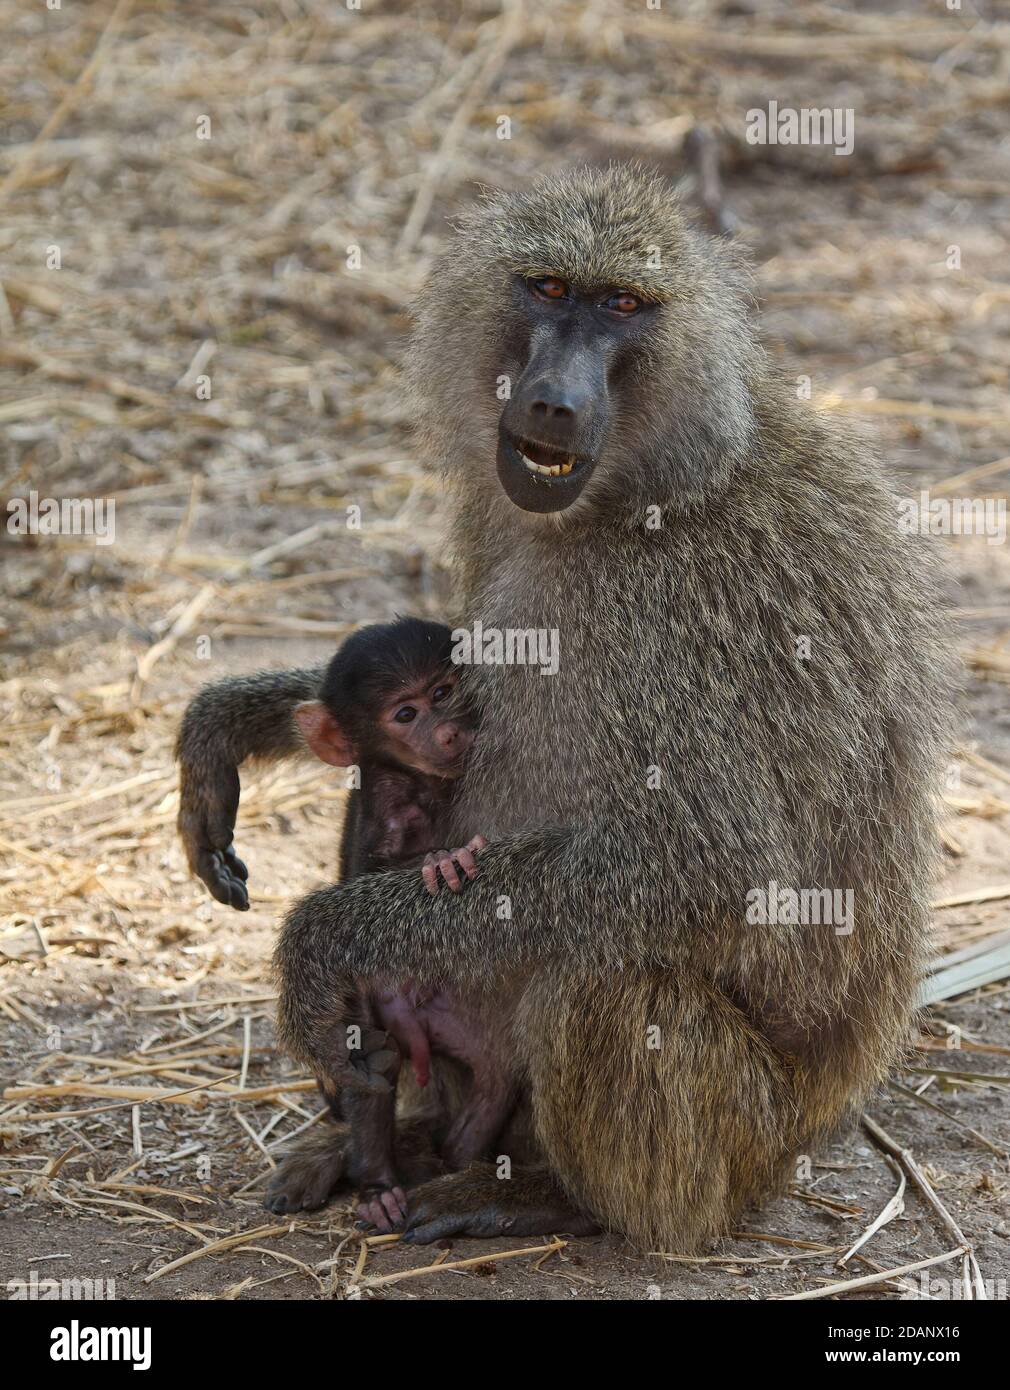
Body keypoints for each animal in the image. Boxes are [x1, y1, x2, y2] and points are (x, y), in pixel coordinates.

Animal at [176, 164, 951, 1250]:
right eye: (546, 288)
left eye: (622, 305)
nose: (553, 398)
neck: (643, 488)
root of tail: (824, 1115)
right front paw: (233, 725)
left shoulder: (698, 608)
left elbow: (717, 866)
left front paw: (318, 941)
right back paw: (393, 1142)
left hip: (743, 1131)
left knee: (606, 981)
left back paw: (542, 1197)